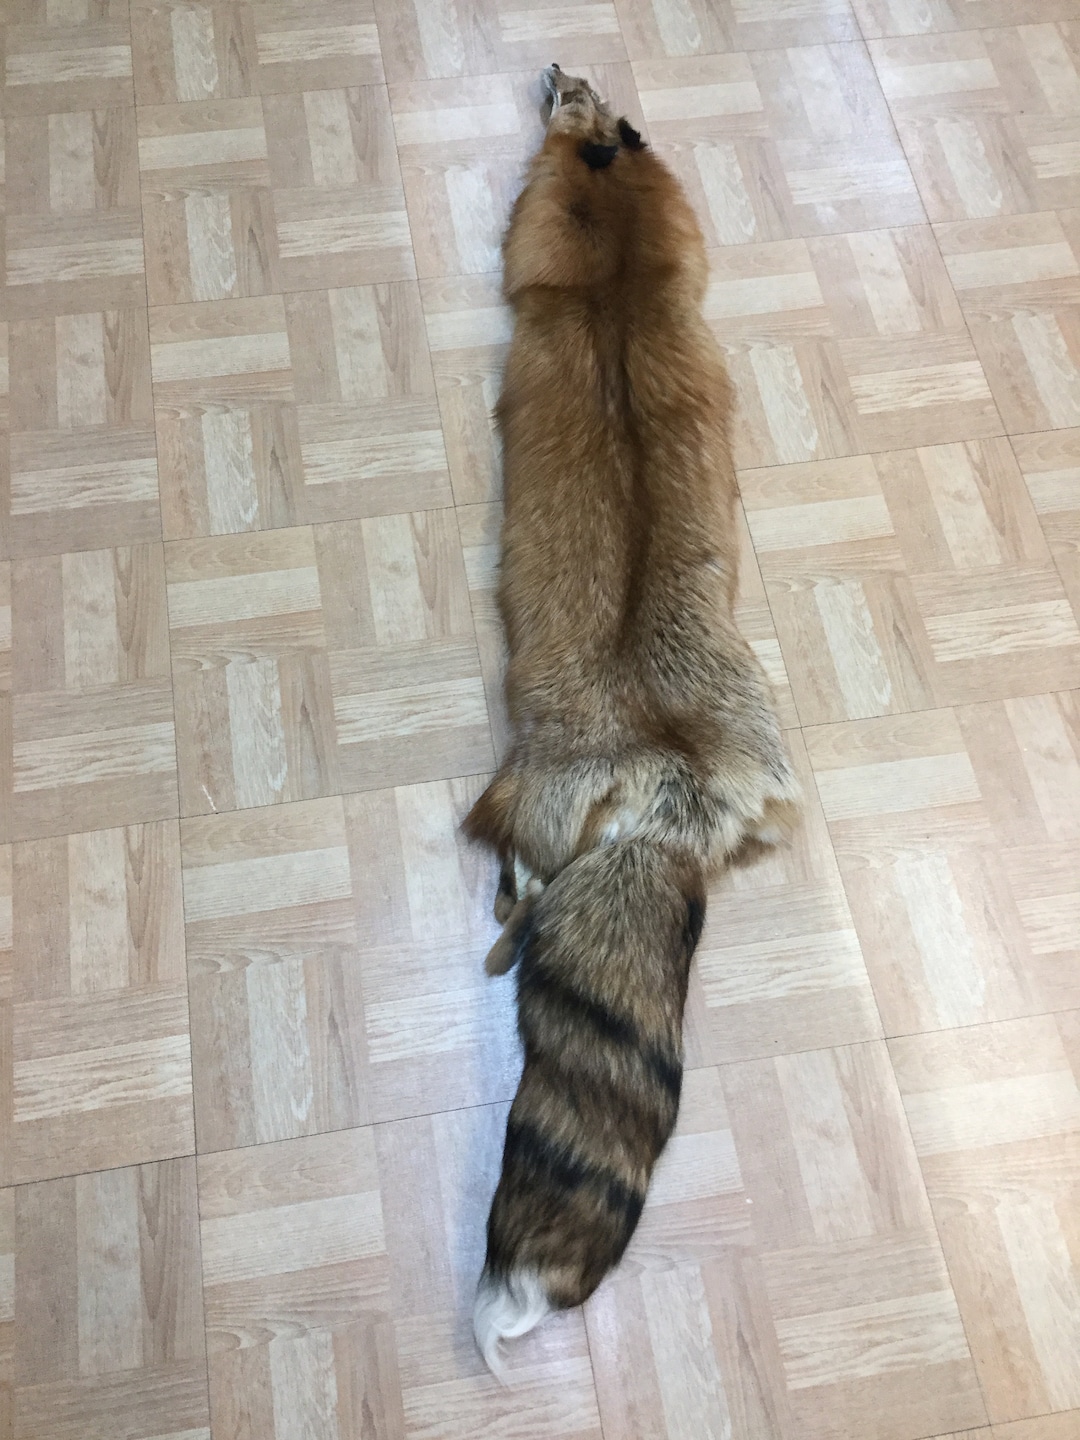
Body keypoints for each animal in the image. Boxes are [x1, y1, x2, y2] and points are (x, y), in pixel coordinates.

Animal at [464, 64, 800, 1380]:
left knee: (513, 880)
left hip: (523, 794)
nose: (556, 62)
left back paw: (501, 922)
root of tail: (658, 789)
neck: (610, 275)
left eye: (575, 93)